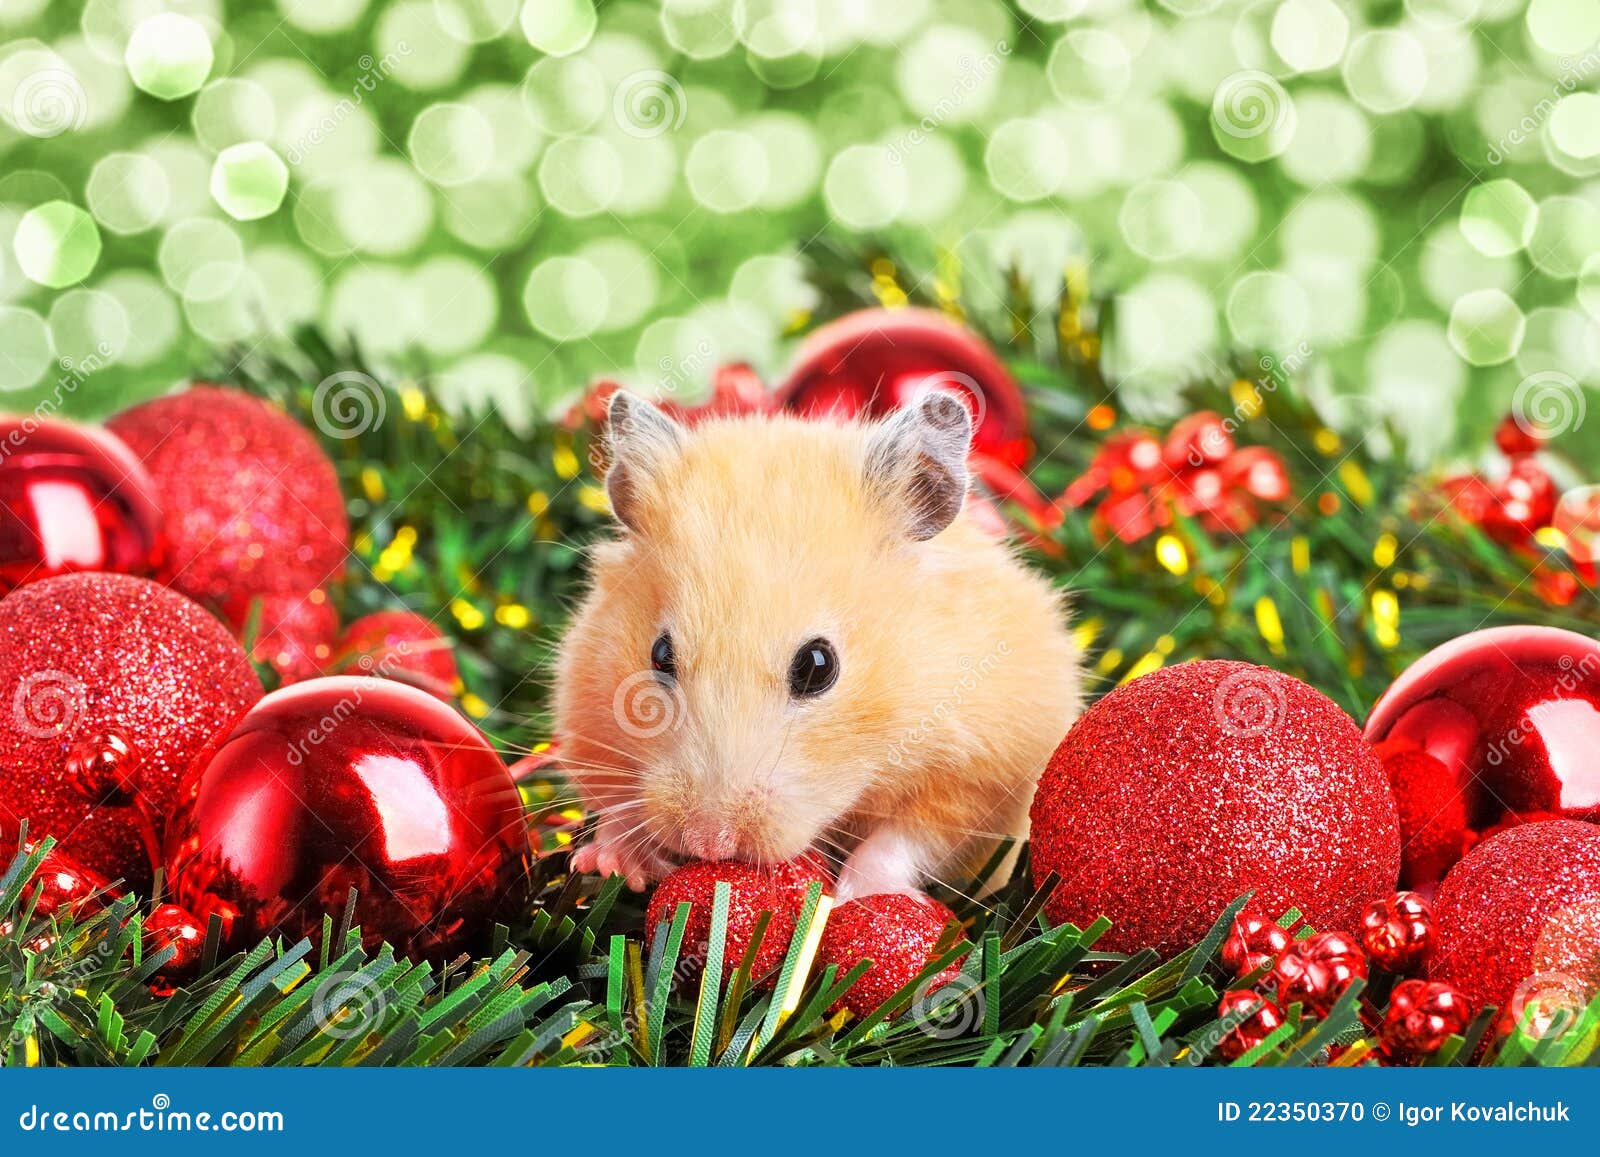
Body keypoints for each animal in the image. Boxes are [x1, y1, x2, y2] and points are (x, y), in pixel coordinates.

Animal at [553, 388, 1082, 901]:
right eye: (660, 655)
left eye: (817, 666)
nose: (710, 842)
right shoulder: (586, 717)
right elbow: (614, 801)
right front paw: (613, 862)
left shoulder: (982, 774)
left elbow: (908, 838)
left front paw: (857, 898)